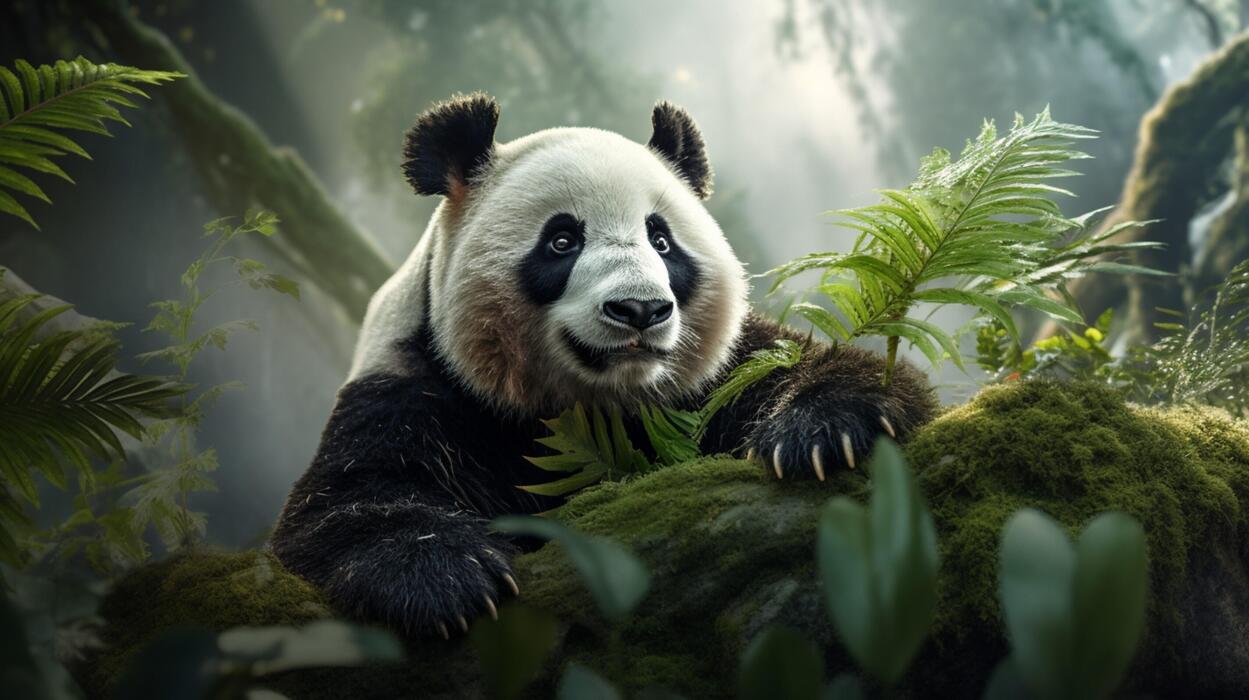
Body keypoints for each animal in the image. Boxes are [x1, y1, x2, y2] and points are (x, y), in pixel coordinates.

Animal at [271, 94, 936, 639]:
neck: (593, 402)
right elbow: (343, 501)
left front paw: (821, 432)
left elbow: (817, 369)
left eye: (661, 240)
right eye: (562, 241)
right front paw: (444, 577)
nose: (640, 309)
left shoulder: (712, 375)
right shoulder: (413, 379)